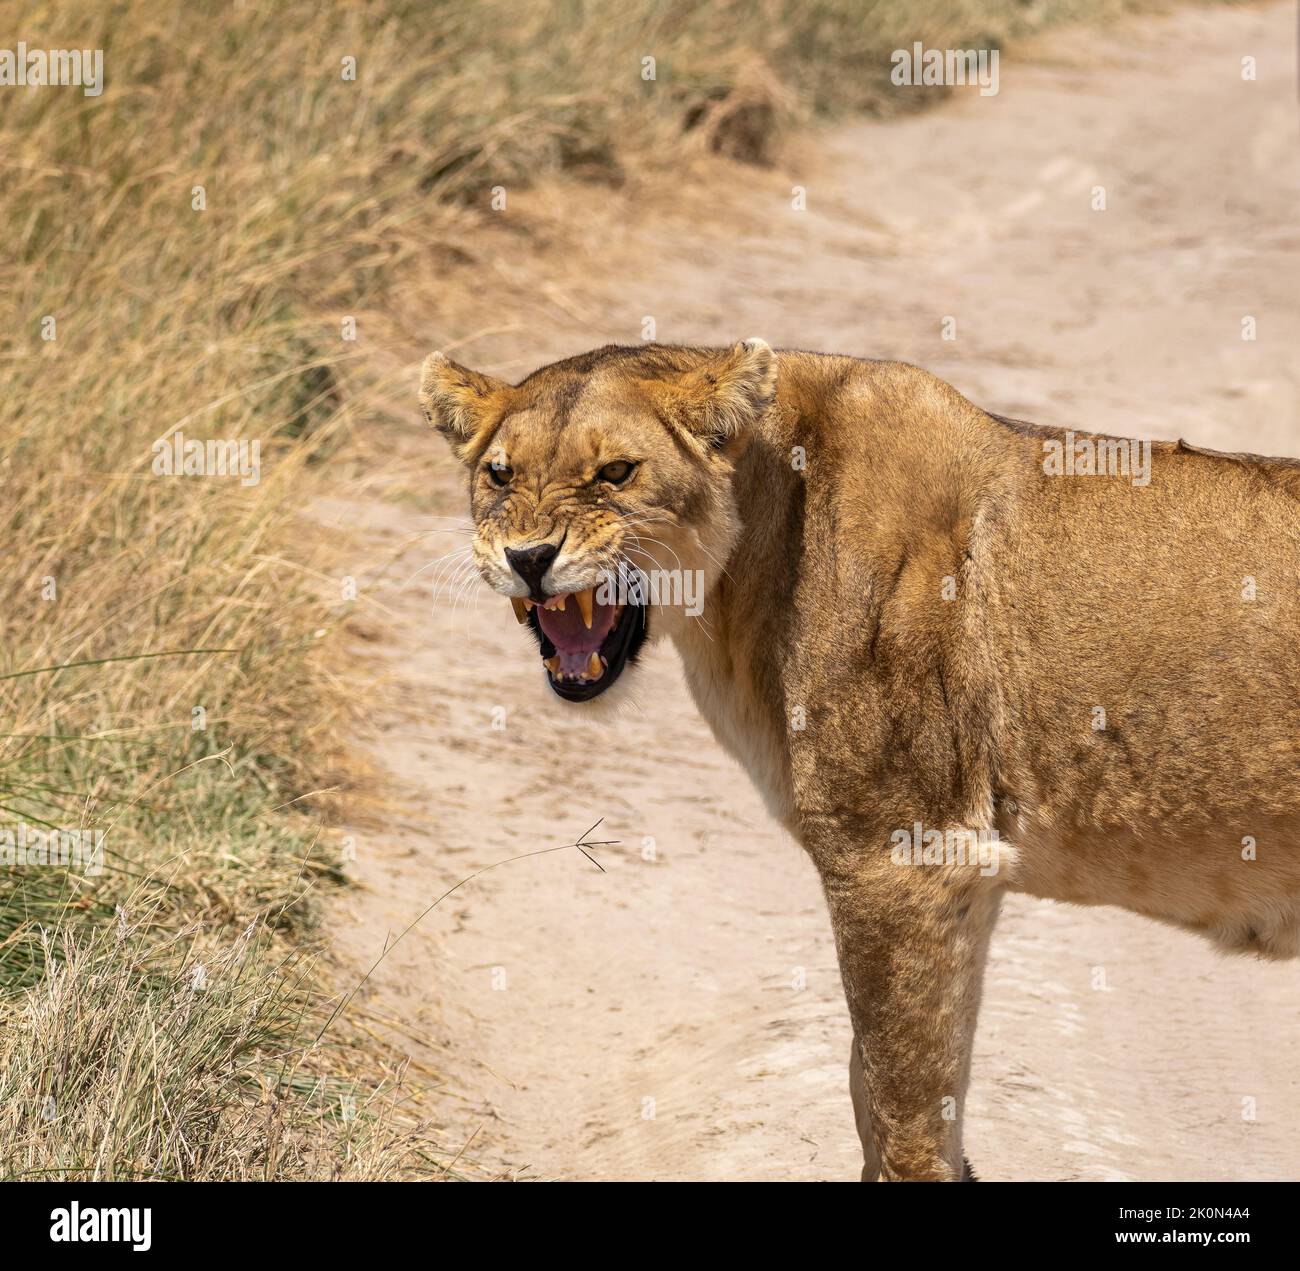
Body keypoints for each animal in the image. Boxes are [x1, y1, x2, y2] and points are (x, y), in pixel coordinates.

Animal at [419, 339, 1300, 1181]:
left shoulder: (903, 856)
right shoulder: (959, 871)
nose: (529, 556)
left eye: (615, 472)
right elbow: (878, 1089)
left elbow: (901, 1103)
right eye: (500, 474)